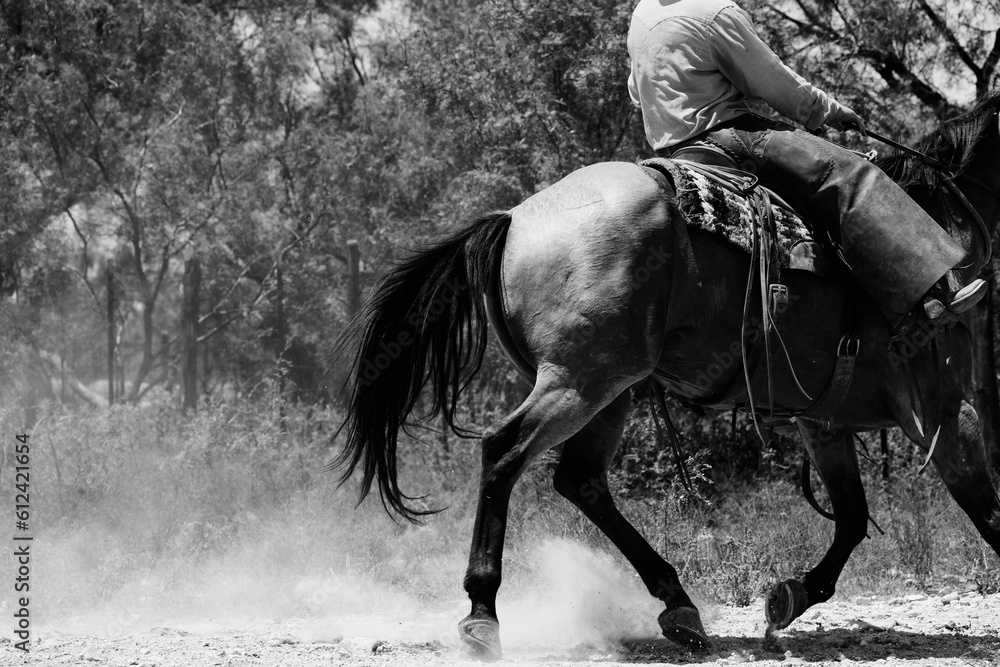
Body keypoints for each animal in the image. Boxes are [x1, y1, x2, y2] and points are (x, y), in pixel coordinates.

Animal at [334, 91, 1000, 659]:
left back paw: (679, 607)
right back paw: (481, 615)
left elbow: (854, 521)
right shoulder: (943, 407)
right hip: (578, 380)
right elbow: (985, 510)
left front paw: (788, 598)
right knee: (505, 452)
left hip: (610, 390)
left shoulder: (825, 422)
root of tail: (515, 219)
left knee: (581, 481)